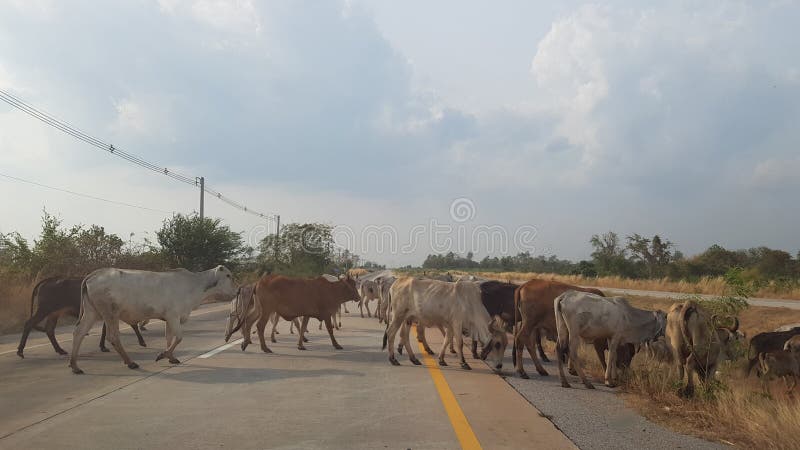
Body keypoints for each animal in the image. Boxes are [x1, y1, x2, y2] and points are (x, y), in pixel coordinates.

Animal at [17, 276, 146, 358]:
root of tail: (49, 280)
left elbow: (105, 330)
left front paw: (102, 346)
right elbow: (133, 325)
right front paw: (142, 342)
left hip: (54, 313)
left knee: (49, 329)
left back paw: (60, 350)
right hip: (44, 310)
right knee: (29, 324)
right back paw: (20, 351)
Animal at [69, 266, 237, 374]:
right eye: (228, 275)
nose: (236, 291)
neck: (195, 285)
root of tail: (94, 274)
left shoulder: (169, 319)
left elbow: (169, 338)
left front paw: (170, 357)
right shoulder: (173, 316)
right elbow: (179, 338)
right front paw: (163, 355)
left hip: (92, 312)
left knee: (79, 333)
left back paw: (74, 365)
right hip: (110, 314)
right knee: (113, 337)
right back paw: (130, 362)